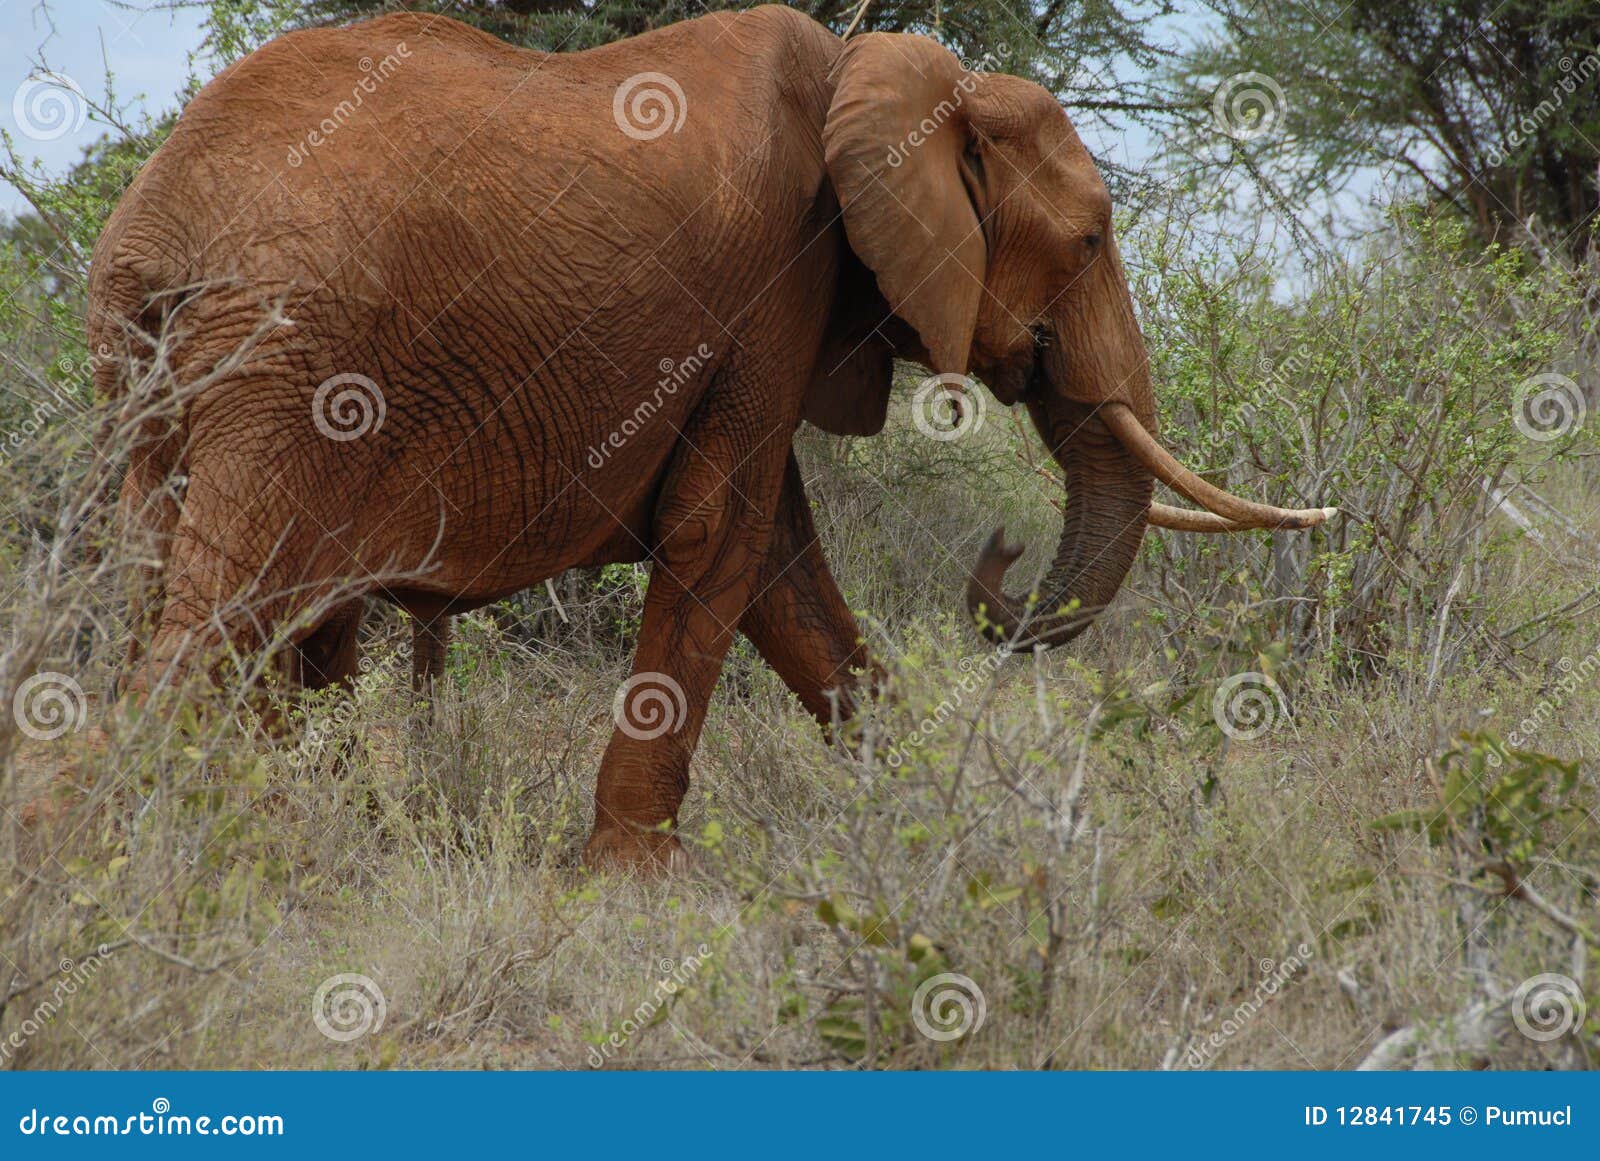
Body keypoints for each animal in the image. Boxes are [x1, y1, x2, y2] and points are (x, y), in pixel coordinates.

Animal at [88, 5, 1333, 868]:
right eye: (1086, 241)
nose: (1003, 556)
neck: (881, 74)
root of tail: (166, 227)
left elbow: (782, 563)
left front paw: (936, 820)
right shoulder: (775, 279)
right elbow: (719, 534)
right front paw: (634, 886)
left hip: (154, 382)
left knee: (220, 599)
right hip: (296, 363)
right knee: (222, 619)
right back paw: (159, 853)